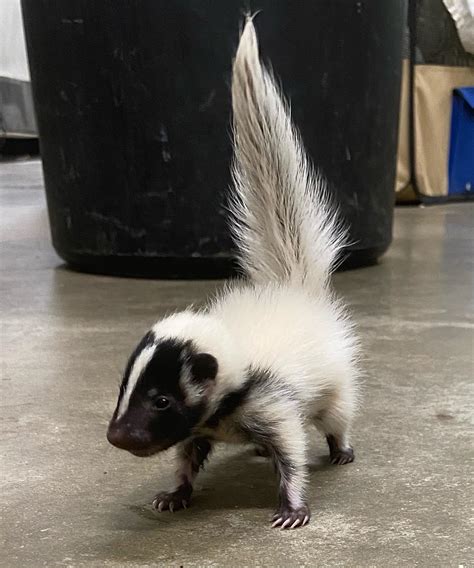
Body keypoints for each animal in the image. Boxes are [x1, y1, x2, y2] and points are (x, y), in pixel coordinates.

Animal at [107, 18, 360, 532]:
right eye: (125, 389)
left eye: (162, 401)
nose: (118, 435)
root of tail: (294, 290)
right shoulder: (202, 424)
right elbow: (187, 455)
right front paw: (175, 494)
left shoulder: (270, 398)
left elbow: (291, 452)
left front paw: (292, 509)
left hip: (336, 379)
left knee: (337, 413)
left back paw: (341, 449)